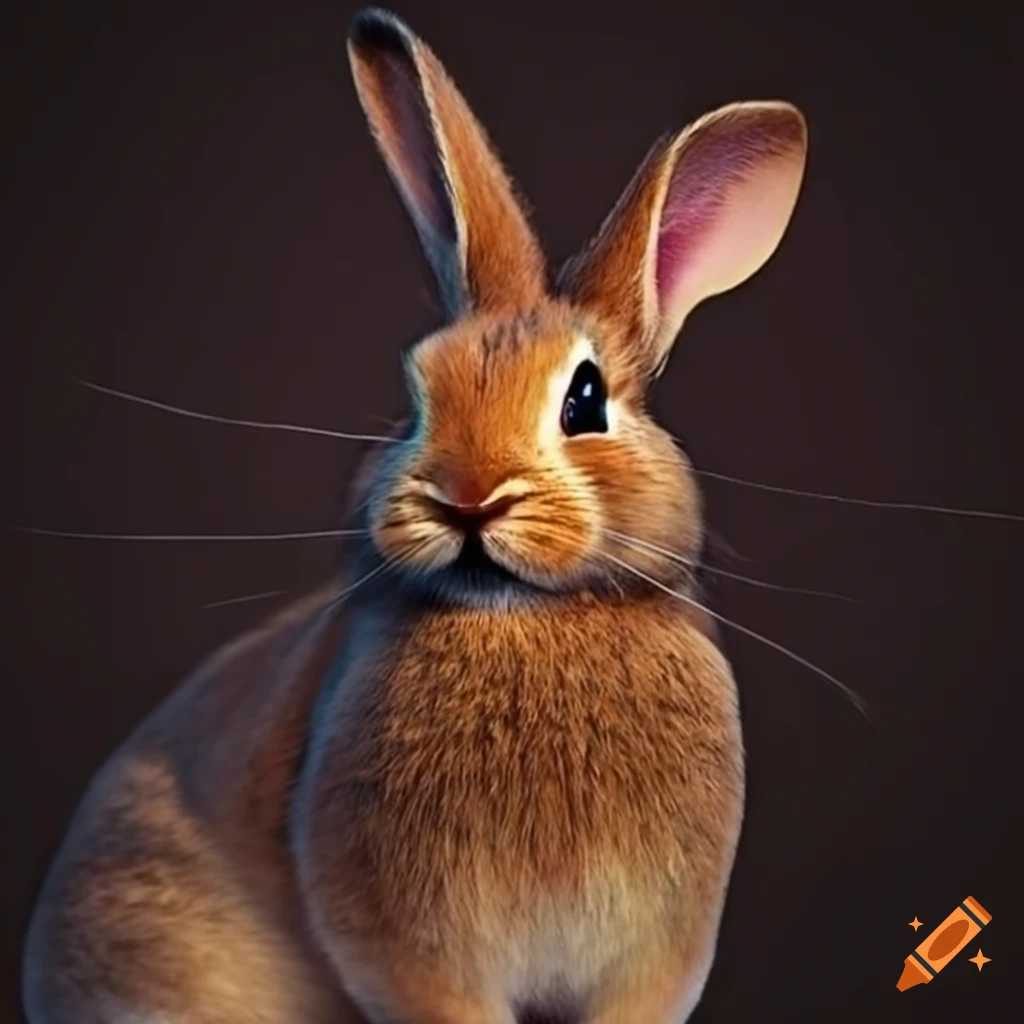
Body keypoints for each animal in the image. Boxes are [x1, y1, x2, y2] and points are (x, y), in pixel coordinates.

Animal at [23, 6, 808, 1023]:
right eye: (416, 392)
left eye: (585, 399)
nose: (467, 496)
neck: (520, 619)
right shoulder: (413, 953)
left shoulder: (655, 959)